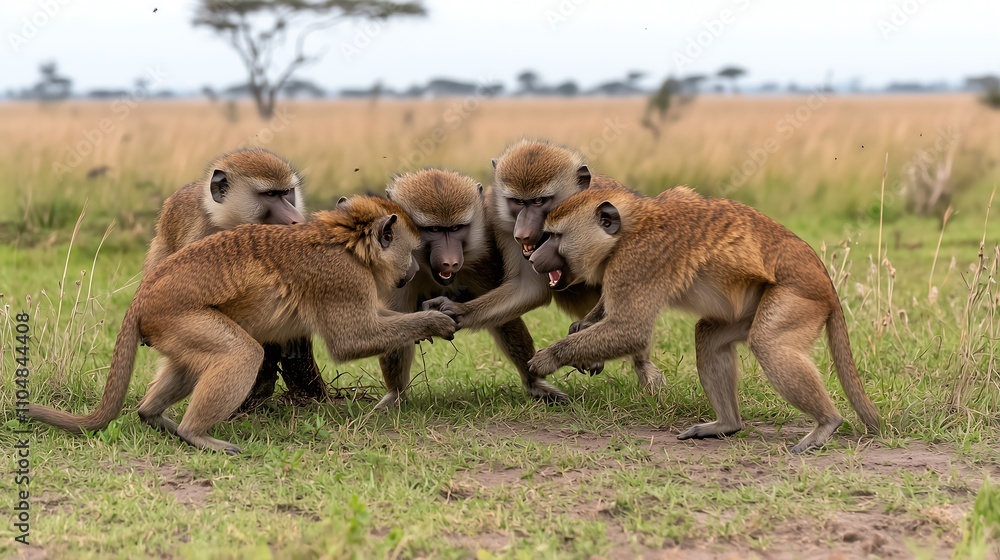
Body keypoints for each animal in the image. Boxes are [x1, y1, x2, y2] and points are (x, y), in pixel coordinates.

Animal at [26, 195, 457, 454]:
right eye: (412, 251)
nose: (415, 269)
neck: (349, 243)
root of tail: (143, 295)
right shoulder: (341, 278)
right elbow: (350, 341)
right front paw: (433, 320)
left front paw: (437, 309)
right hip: (176, 315)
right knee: (241, 353)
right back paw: (195, 433)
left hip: (170, 327)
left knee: (193, 364)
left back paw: (152, 415)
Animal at [375, 168, 564, 407]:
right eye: (434, 229)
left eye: (456, 228)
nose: (450, 262)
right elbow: (396, 321)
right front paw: (396, 393)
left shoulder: (484, 261)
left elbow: (506, 314)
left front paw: (534, 381)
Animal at [423, 139, 663, 389]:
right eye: (518, 202)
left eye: (539, 201)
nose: (523, 233)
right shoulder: (500, 221)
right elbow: (528, 287)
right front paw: (457, 311)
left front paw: (584, 331)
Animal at [525, 185, 882, 453]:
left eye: (555, 237)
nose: (533, 257)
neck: (629, 229)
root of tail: (825, 281)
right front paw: (583, 327)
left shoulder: (637, 260)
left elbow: (631, 330)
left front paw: (549, 357)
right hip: (752, 307)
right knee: (708, 335)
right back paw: (727, 424)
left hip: (798, 299)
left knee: (768, 344)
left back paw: (827, 423)